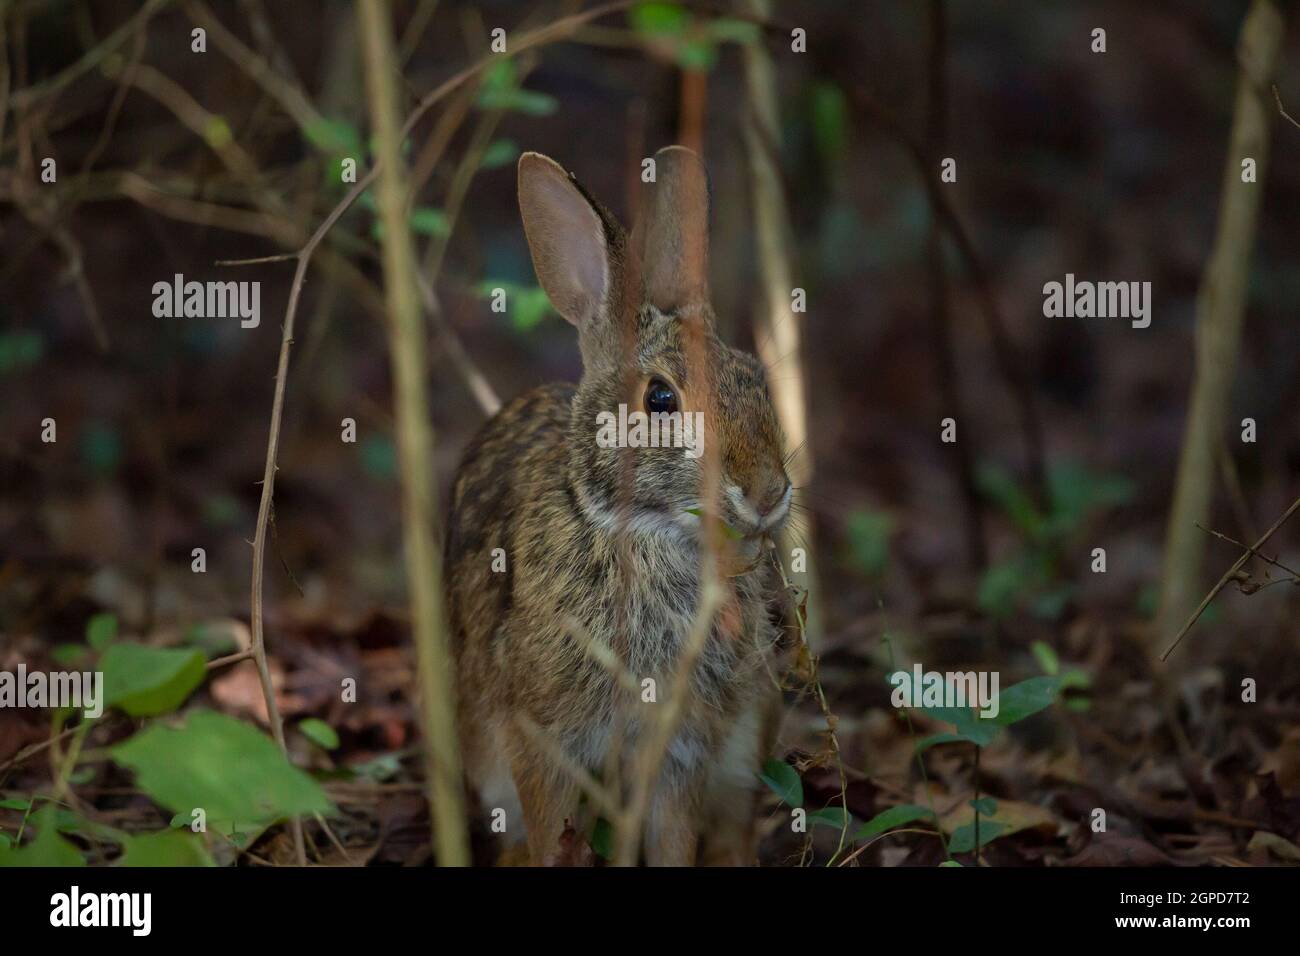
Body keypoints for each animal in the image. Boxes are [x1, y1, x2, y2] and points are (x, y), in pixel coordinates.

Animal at [444, 145, 793, 866]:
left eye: (754, 376)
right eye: (659, 399)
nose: (769, 492)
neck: (637, 531)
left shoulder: (684, 749)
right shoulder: (542, 737)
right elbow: (551, 832)